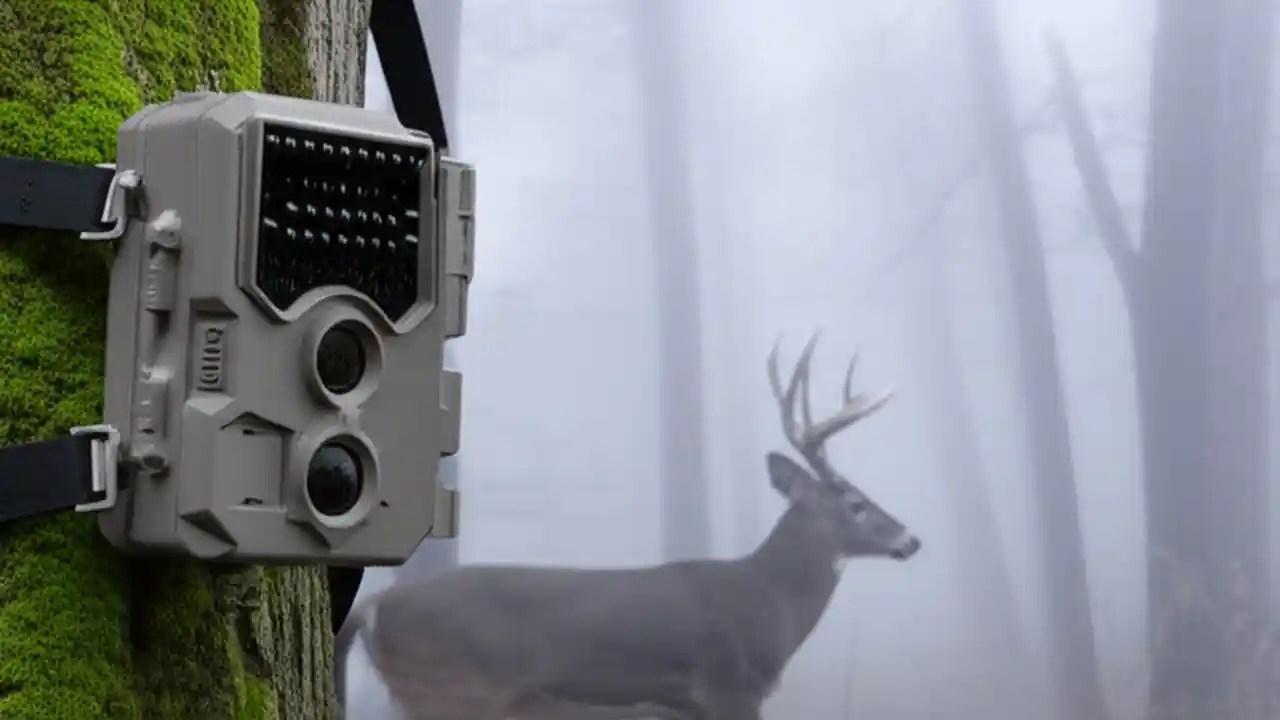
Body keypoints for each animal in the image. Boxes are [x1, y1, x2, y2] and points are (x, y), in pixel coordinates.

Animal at [334, 333, 922, 720]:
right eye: (855, 502)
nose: (911, 538)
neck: (765, 602)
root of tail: (373, 609)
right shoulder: (728, 688)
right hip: (452, 689)